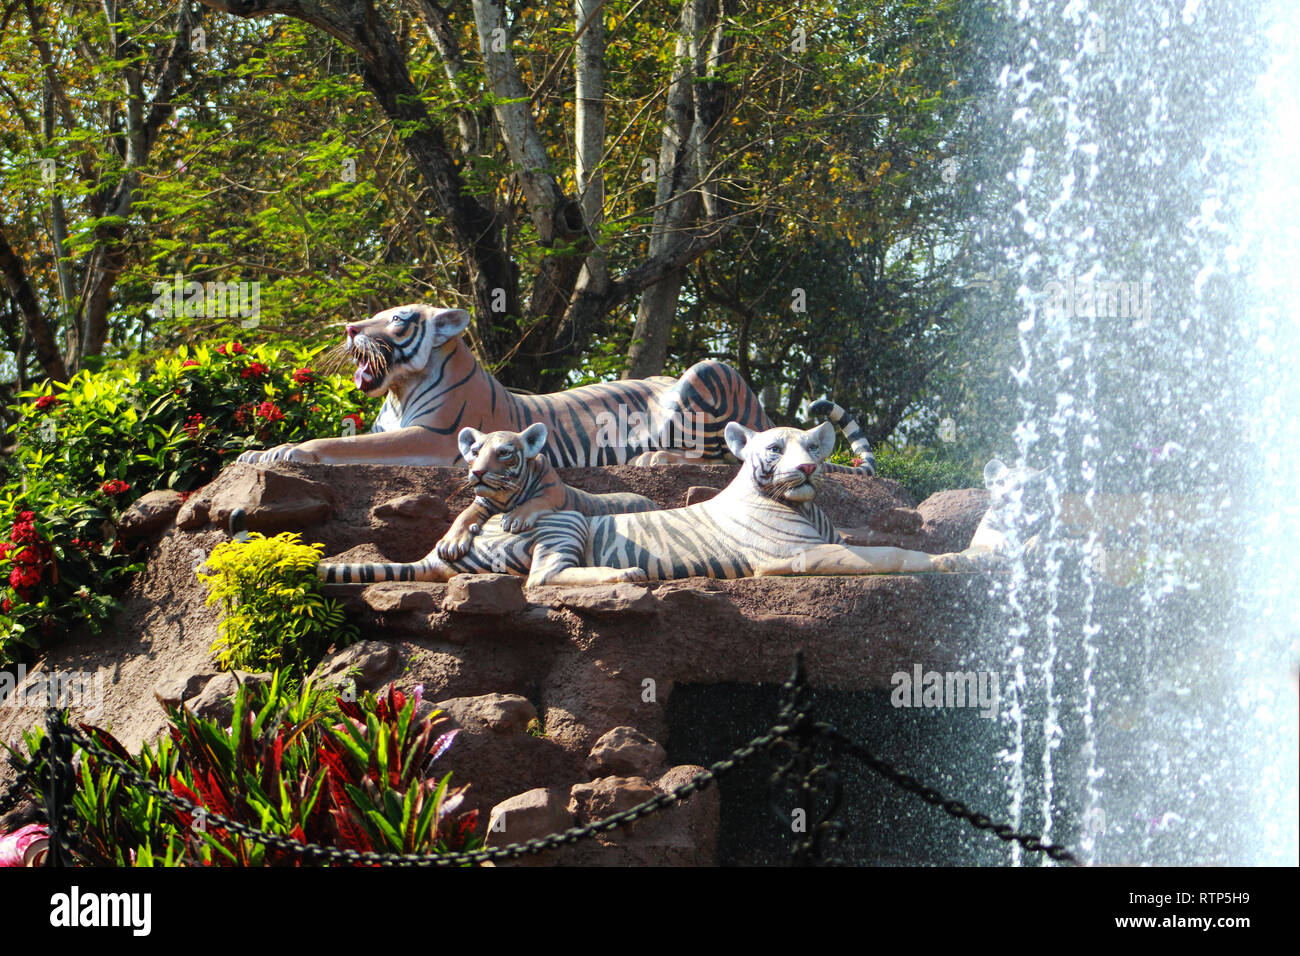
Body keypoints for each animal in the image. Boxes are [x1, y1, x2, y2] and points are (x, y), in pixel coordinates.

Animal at [236, 303, 878, 472]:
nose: (348, 329)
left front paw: (277, 450)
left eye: (395, 320)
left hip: (709, 372)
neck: (398, 391)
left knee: (728, 451)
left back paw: (650, 461)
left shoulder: (434, 438)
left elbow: (341, 444)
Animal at [435, 422, 658, 561]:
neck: (505, 497)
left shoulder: (553, 495)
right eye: (475, 452)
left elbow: (536, 501)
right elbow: (464, 516)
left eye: (504, 453)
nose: (478, 472)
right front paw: (450, 543)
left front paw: (514, 519)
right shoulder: (482, 502)